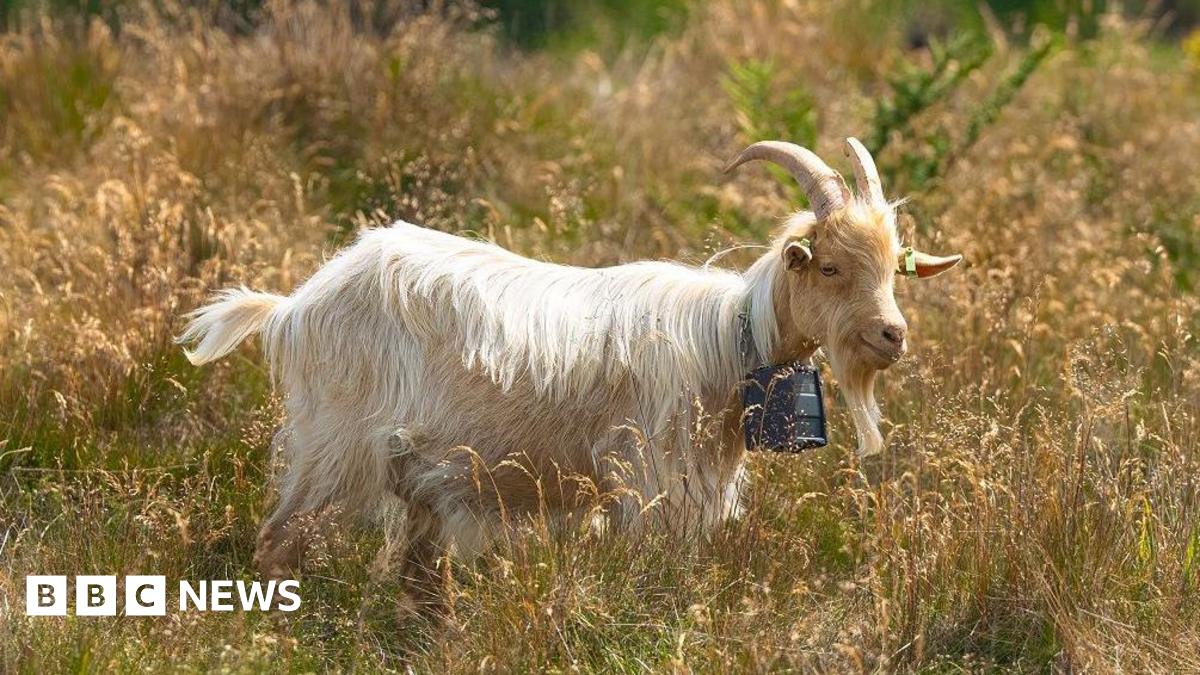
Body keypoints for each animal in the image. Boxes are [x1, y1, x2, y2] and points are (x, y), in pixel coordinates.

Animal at [179, 138, 961, 610]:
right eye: (829, 267)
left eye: (894, 269)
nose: (892, 335)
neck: (724, 343)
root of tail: (294, 307)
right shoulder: (652, 482)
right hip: (332, 446)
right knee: (278, 544)